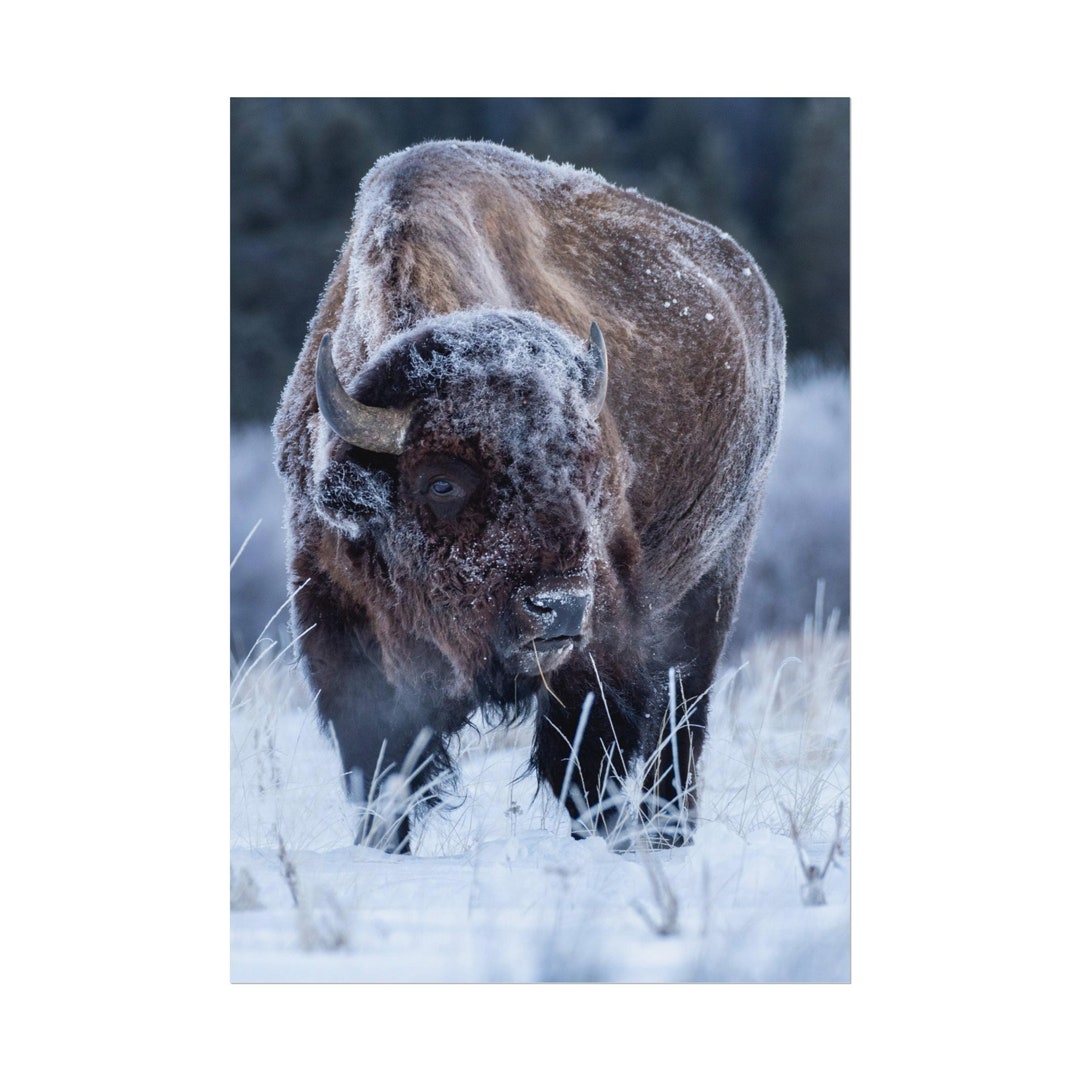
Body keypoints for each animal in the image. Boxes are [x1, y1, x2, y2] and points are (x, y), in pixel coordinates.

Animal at [274, 140, 785, 850]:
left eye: (588, 475)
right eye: (442, 482)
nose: (558, 607)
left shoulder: (599, 649)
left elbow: (587, 765)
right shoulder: (340, 630)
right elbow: (382, 776)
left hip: (712, 582)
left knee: (681, 721)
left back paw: (669, 835)